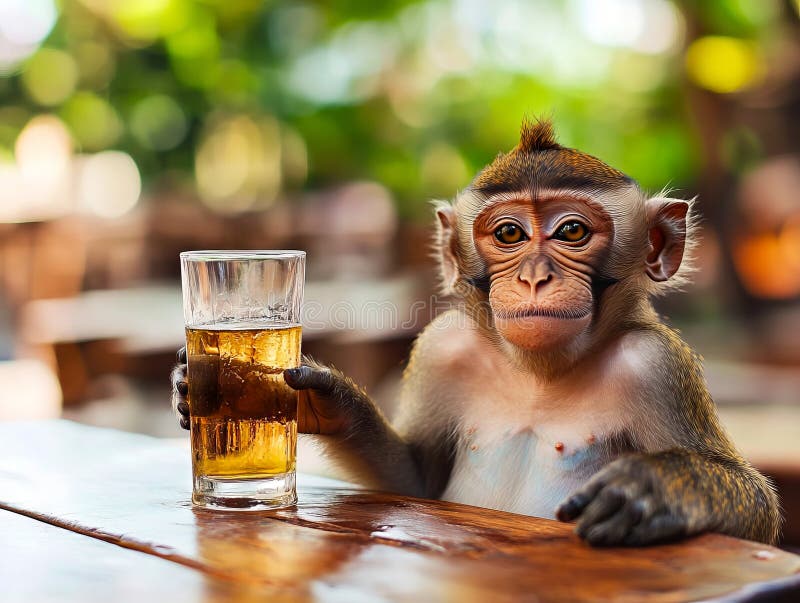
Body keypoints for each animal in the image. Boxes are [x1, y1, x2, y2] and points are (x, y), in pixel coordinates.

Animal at [172, 118, 780, 546]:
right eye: (509, 234)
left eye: (572, 231)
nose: (535, 277)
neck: (537, 373)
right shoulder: (443, 348)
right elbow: (414, 479)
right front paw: (314, 398)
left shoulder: (656, 364)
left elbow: (757, 508)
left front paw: (658, 484)